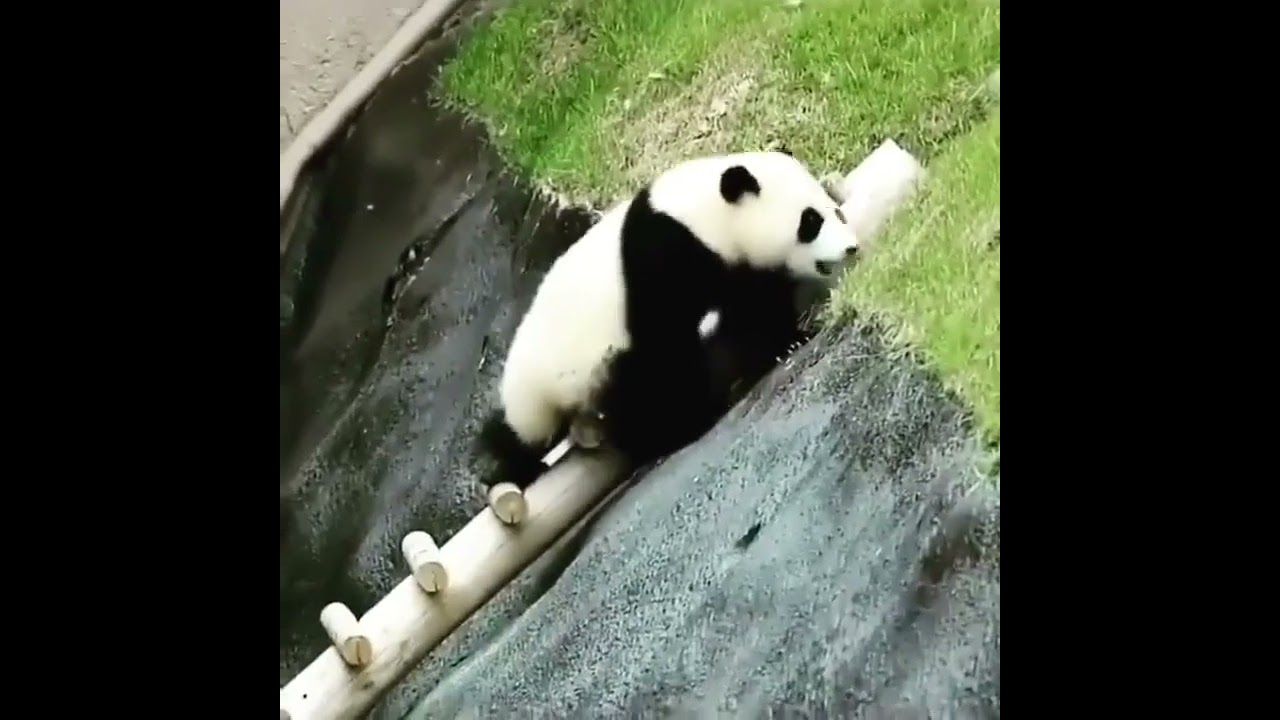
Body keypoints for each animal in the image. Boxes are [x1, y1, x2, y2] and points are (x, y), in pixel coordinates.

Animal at [477, 149, 859, 490]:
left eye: (834, 210)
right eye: (811, 221)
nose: (850, 247)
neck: (702, 215)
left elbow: (756, 304)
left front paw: (788, 341)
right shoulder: (661, 259)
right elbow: (668, 347)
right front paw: (695, 415)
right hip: (562, 376)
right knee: (626, 388)